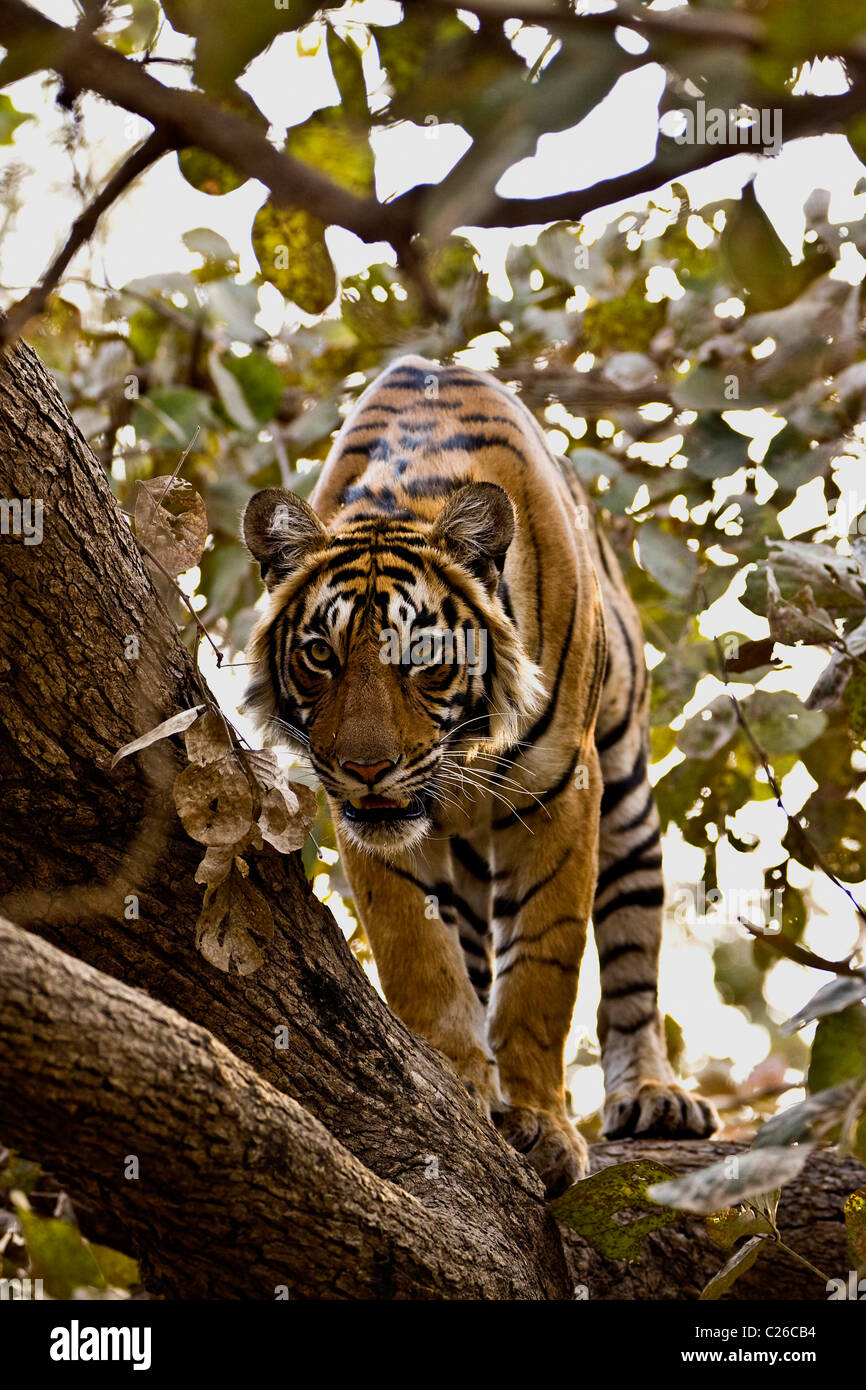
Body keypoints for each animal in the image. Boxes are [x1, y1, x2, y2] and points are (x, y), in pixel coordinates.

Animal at [241, 354, 717, 1196]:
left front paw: (542, 1123)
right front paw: (461, 1085)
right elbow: (422, 957)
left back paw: (654, 1094)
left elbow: (542, 971)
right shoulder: (369, 826)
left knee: (631, 959)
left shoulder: (566, 792)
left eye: (421, 657)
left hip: (626, 793)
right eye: (320, 654)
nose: (367, 766)